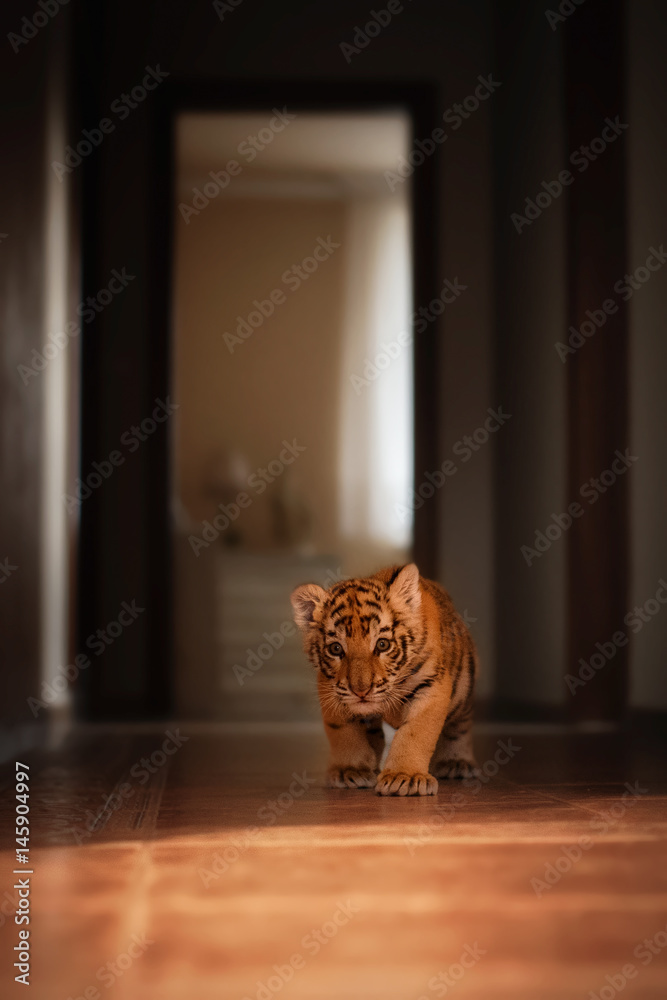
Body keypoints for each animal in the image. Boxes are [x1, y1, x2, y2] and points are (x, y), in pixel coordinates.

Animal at [290, 563, 479, 796]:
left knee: (461, 725)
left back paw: (456, 763)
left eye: (382, 644)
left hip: (463, 692)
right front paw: (350, 770)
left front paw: (405, 776)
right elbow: (343, 731)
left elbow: (416, 732)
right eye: (335, 649)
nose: (361, 690)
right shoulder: (330, 689)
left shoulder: (431, 686)